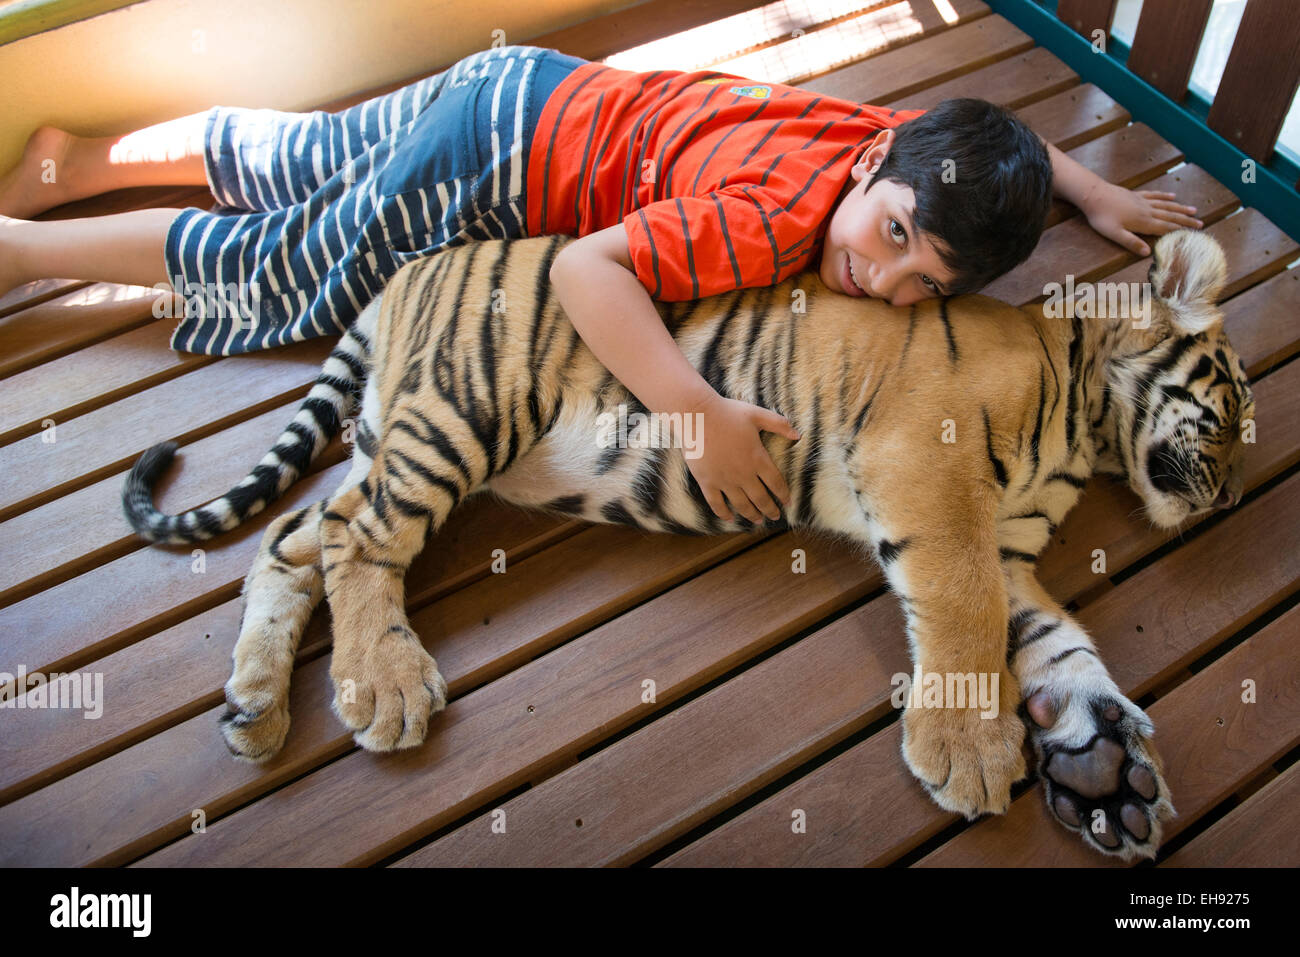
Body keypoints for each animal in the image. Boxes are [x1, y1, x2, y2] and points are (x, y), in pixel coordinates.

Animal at [123, 227, 1253, 861]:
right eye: (1233, 413)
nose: (1235, 498)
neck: (1083, 420)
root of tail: (406, 275)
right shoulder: (929, 479)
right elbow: (966, 617)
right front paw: (969, 754)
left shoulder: (1007, 549)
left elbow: (1058, 644)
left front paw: (1107, 761)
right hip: (463, 407)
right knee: (354, 538)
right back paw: (384, 686)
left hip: (394, 428)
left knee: (290, 536)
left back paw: (257, 705)